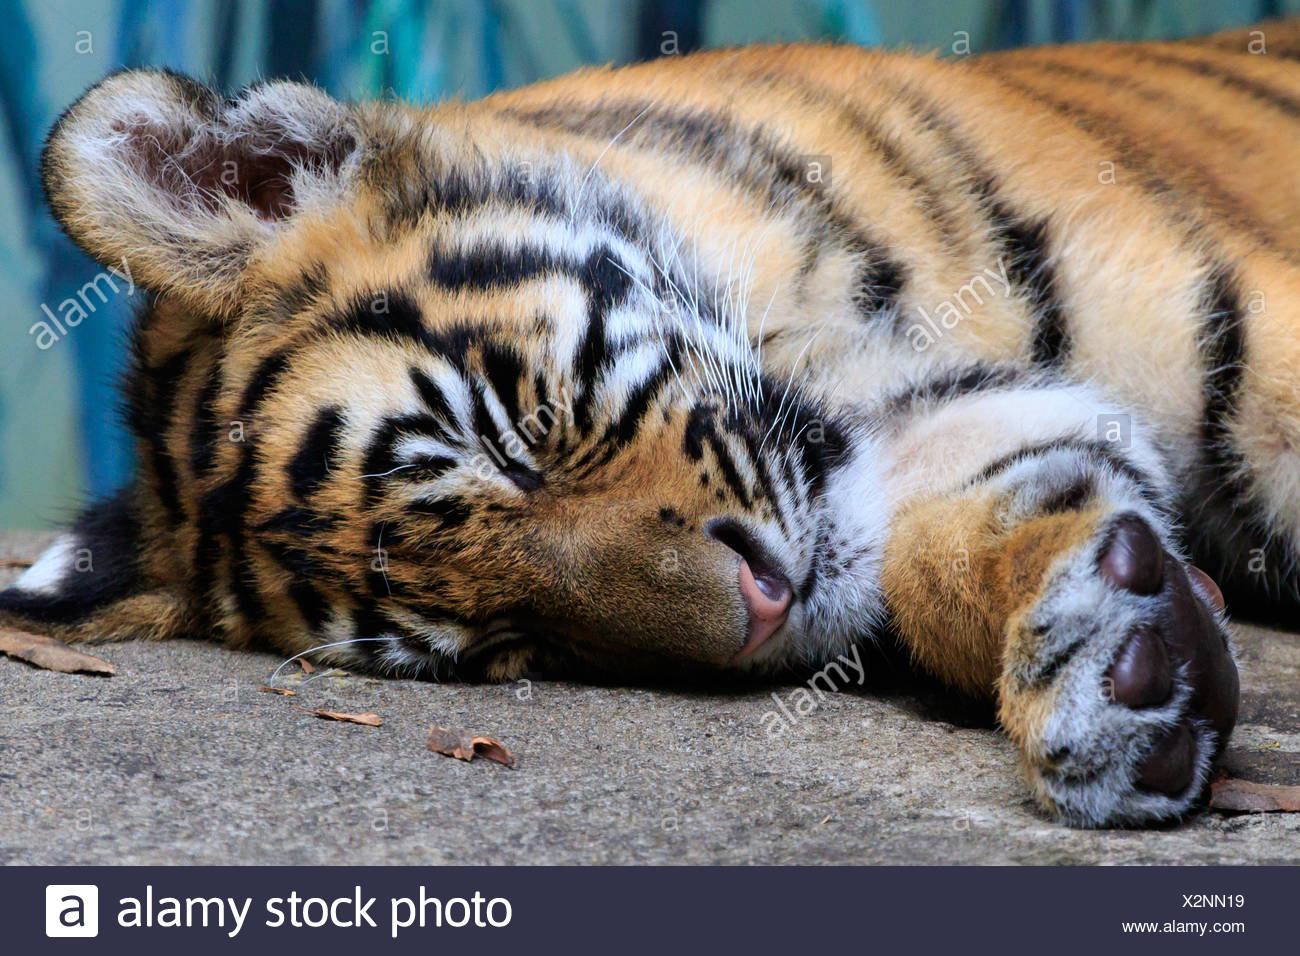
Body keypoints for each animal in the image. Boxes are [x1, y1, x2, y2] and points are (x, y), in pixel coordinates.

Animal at [5, 18, 1299, 830]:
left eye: (516, 433)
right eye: (516, 643)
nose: (765, 609)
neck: (844, 365)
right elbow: (959, 549)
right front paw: (1120, 674)